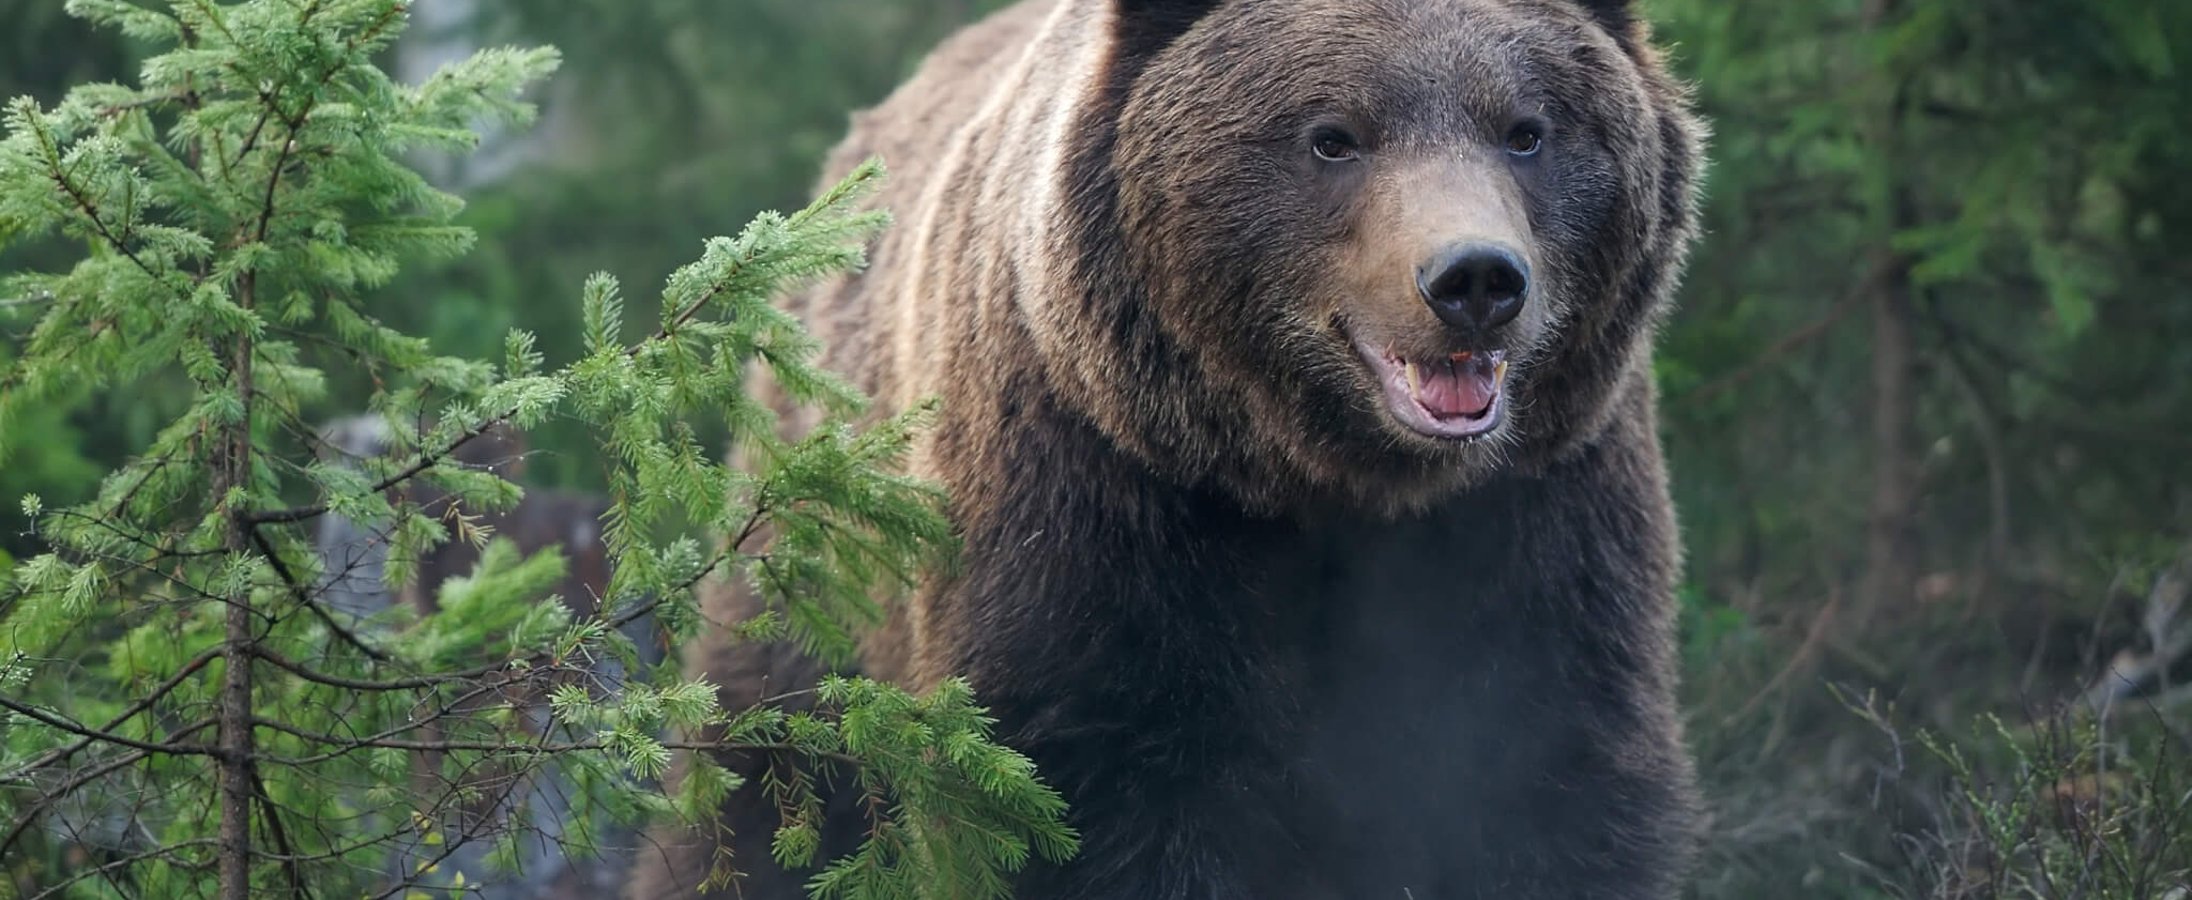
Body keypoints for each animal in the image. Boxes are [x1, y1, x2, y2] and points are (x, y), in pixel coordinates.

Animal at [629, 0, 1707, 897]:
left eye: (1526, 129)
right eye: (1333, 135)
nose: (1475, 279)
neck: (1332, 482)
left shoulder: (1537, 517)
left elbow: (1546, 783)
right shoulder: (1100, 501)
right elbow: (1077, 796)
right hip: (824, 564)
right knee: (764, 771)